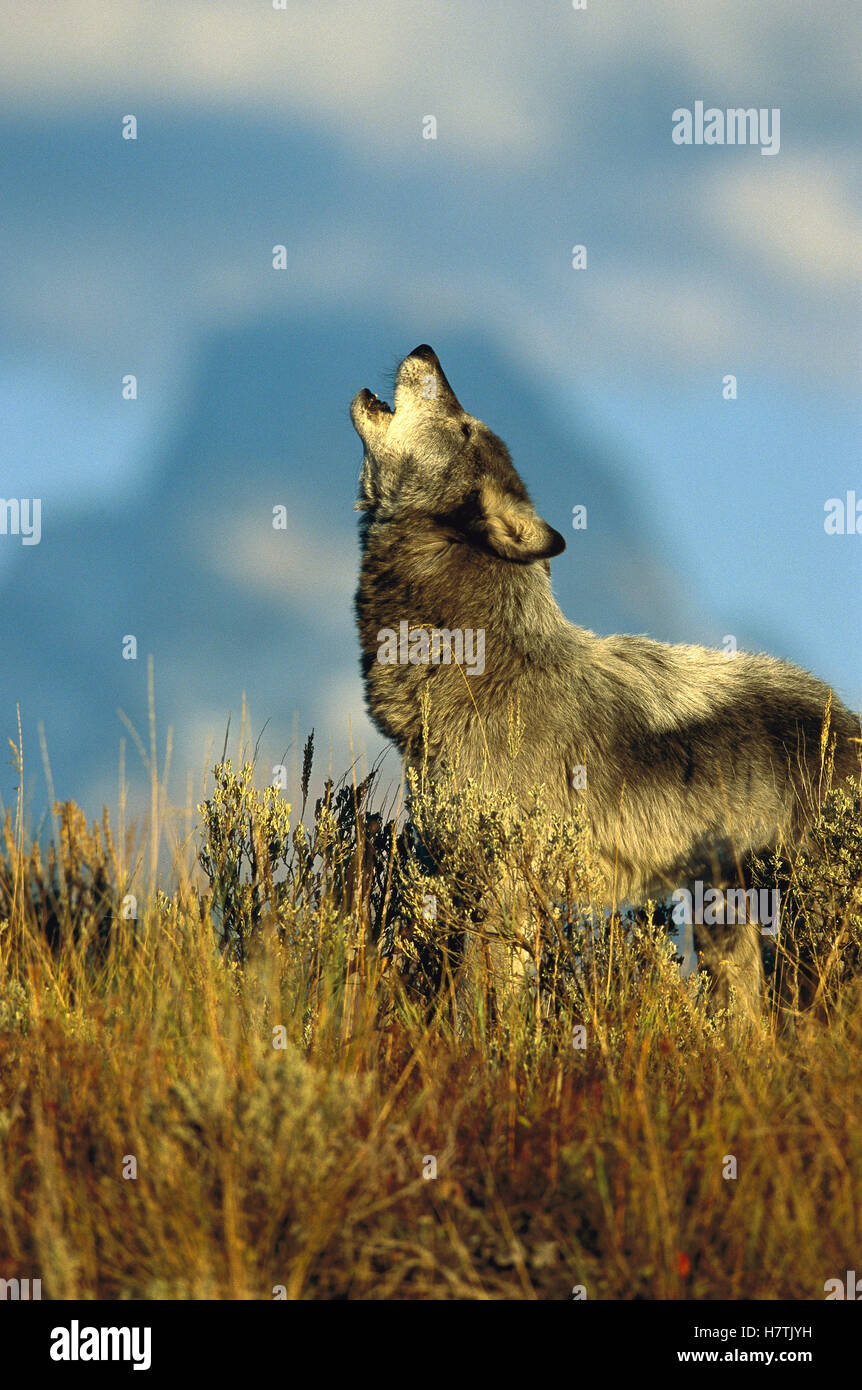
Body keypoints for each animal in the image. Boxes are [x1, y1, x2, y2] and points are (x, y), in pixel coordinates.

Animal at [352, 345, 860, 1024]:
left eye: (463, 427)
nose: (426, 350)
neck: (480, 665)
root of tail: (847, 719)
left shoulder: (504, 890)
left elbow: (478, 1008)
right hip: (723, 923)